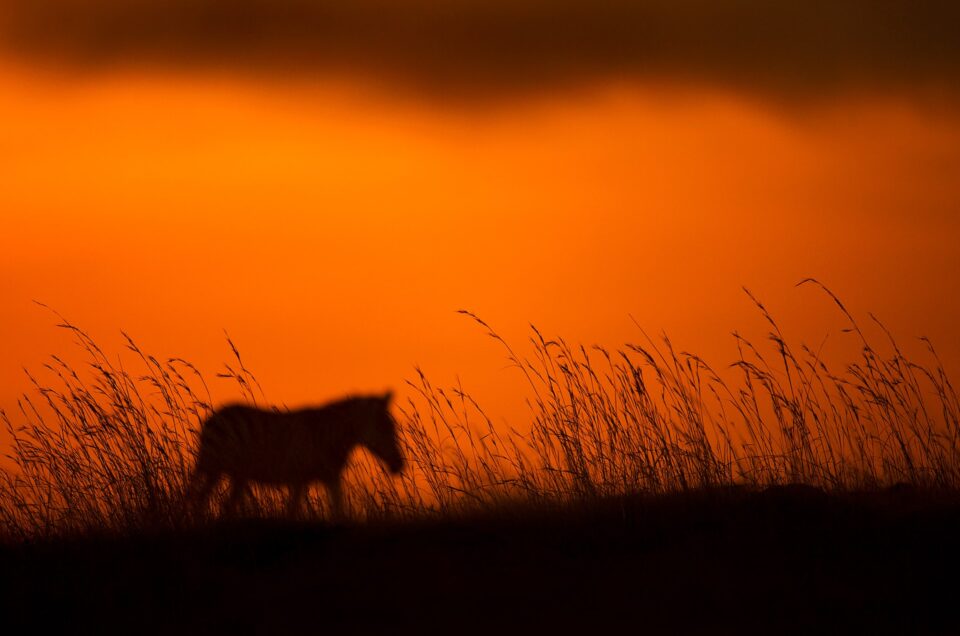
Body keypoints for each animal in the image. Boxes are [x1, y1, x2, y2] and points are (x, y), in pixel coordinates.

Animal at [187, 392, 404, 519]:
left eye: (393, 428)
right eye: (385, 429)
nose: (399, 464)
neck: (328, 436)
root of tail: (214, 416)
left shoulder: (330, 477)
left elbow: (339, 511)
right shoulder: (298, 476)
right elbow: (292, 512)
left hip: (229, 472)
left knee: (209, 501)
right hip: (214, 465)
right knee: (199, 498)